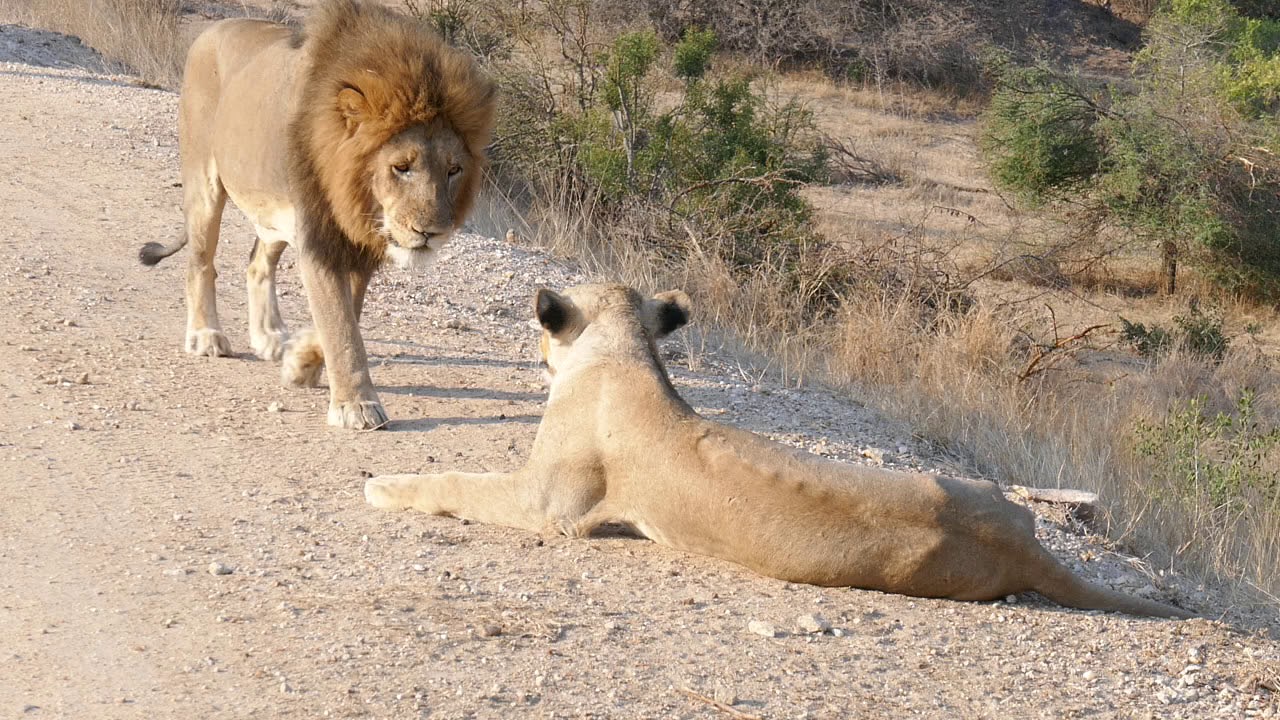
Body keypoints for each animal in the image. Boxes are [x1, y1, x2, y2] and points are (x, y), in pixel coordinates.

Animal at [138, 0, 497, 429]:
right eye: (402, 167)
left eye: (454, 170)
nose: (431, 232)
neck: (357, 198)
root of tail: (211, 31)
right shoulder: (319, 238)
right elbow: (340, 324)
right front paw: (356, 404)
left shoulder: (355, 246)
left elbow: (345, 316)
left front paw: (300, 363)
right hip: (204, 183)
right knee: (201, 263)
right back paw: (206, 335)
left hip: (273, 215)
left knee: (257, 264)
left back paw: (270, 337)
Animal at [364, 283, 1194, 619]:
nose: (531, 350)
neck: (622, 347)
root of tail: (1026, 549)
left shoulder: (548, 503)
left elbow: (456, 482)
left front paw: (380, 484)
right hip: (969, 486)